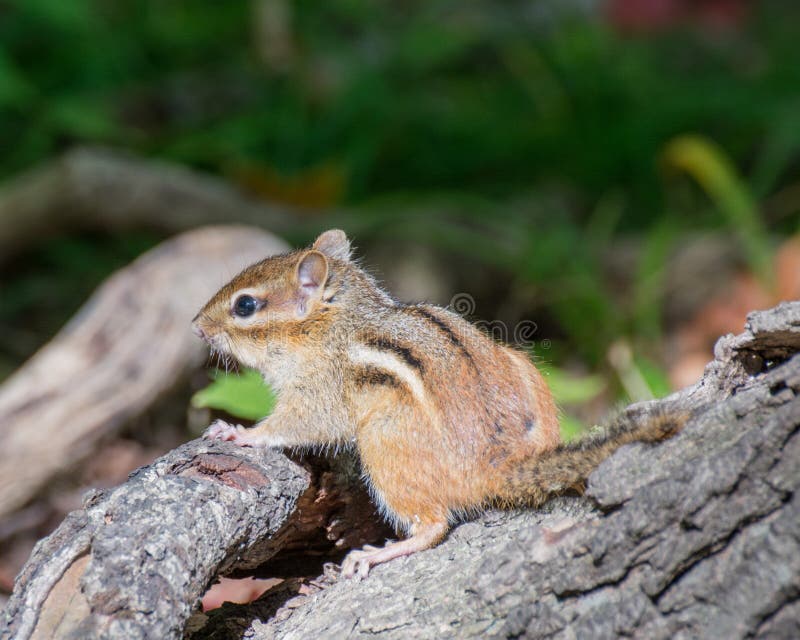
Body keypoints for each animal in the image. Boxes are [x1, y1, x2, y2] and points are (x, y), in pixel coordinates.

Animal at [193, 229, 687, 579]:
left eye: (245, 306)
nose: (197, 325)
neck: (334, 320)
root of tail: (496, 465)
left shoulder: (319, 387)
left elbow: (297, 423)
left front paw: (240, 432)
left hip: (383, 443)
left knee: (433, 525)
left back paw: (376, 555)